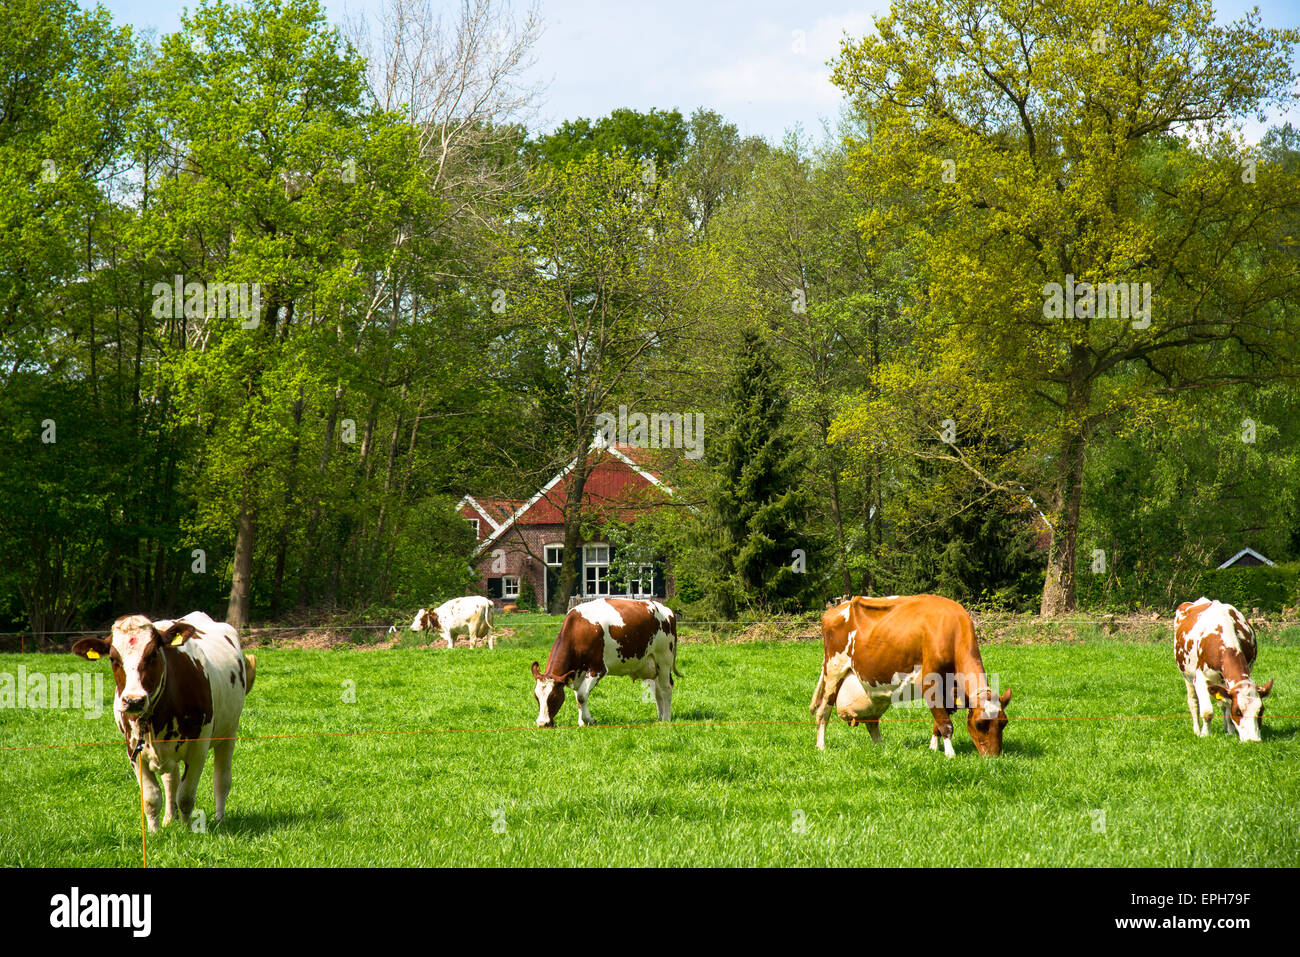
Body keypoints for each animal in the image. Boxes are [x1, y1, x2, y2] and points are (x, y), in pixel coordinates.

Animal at [71, 611, 256, 831]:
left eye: (153, 654)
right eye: (113, 658)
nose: (134, 700)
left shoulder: (198, 748)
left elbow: (186, 795)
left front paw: (186, 830)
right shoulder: (133, 750)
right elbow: (152, 798)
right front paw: (154, 831)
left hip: (229, 732)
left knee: (221, 779)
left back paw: (219, 819)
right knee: (171, 781)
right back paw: (169, 818)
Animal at [531, 597, 680, 728]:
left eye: (553, 696)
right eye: (536, 697)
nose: (542, 723)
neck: (579, 630)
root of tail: (667, 610)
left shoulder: (598, 669)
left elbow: (581, 696)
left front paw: (590, 720)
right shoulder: (577, 674)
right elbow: (578, 697)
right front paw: (582, 722)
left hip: (664, 659)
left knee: (666, 688)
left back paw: (666, 719)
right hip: (651, 665)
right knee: (657, 690)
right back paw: (660, 717)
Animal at [810, 594, 1011, 756]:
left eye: (1004, 723)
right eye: (979, 723)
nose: (993, 757)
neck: (951, 630)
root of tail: (835, 609)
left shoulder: (948, 690)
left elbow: (939, 721)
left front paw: (933, 748)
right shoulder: (929, 683)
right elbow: (946, 723)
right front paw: (950, 755)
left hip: (873, 688)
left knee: (872, 721)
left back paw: (881, 747)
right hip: (833, 670)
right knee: (823, 710)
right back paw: (821, 747)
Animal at [1174, 597, 1273, 742]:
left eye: (1261, 711)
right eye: (1238, 711)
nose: (1253, 740)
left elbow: (1227, 706)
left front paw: (1230, 731)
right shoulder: (1200, 678)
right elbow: (1207, 712)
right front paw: (1205, 734)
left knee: (1223, 703)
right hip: (1187, 676)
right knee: (1193, 702)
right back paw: (1196, 730)